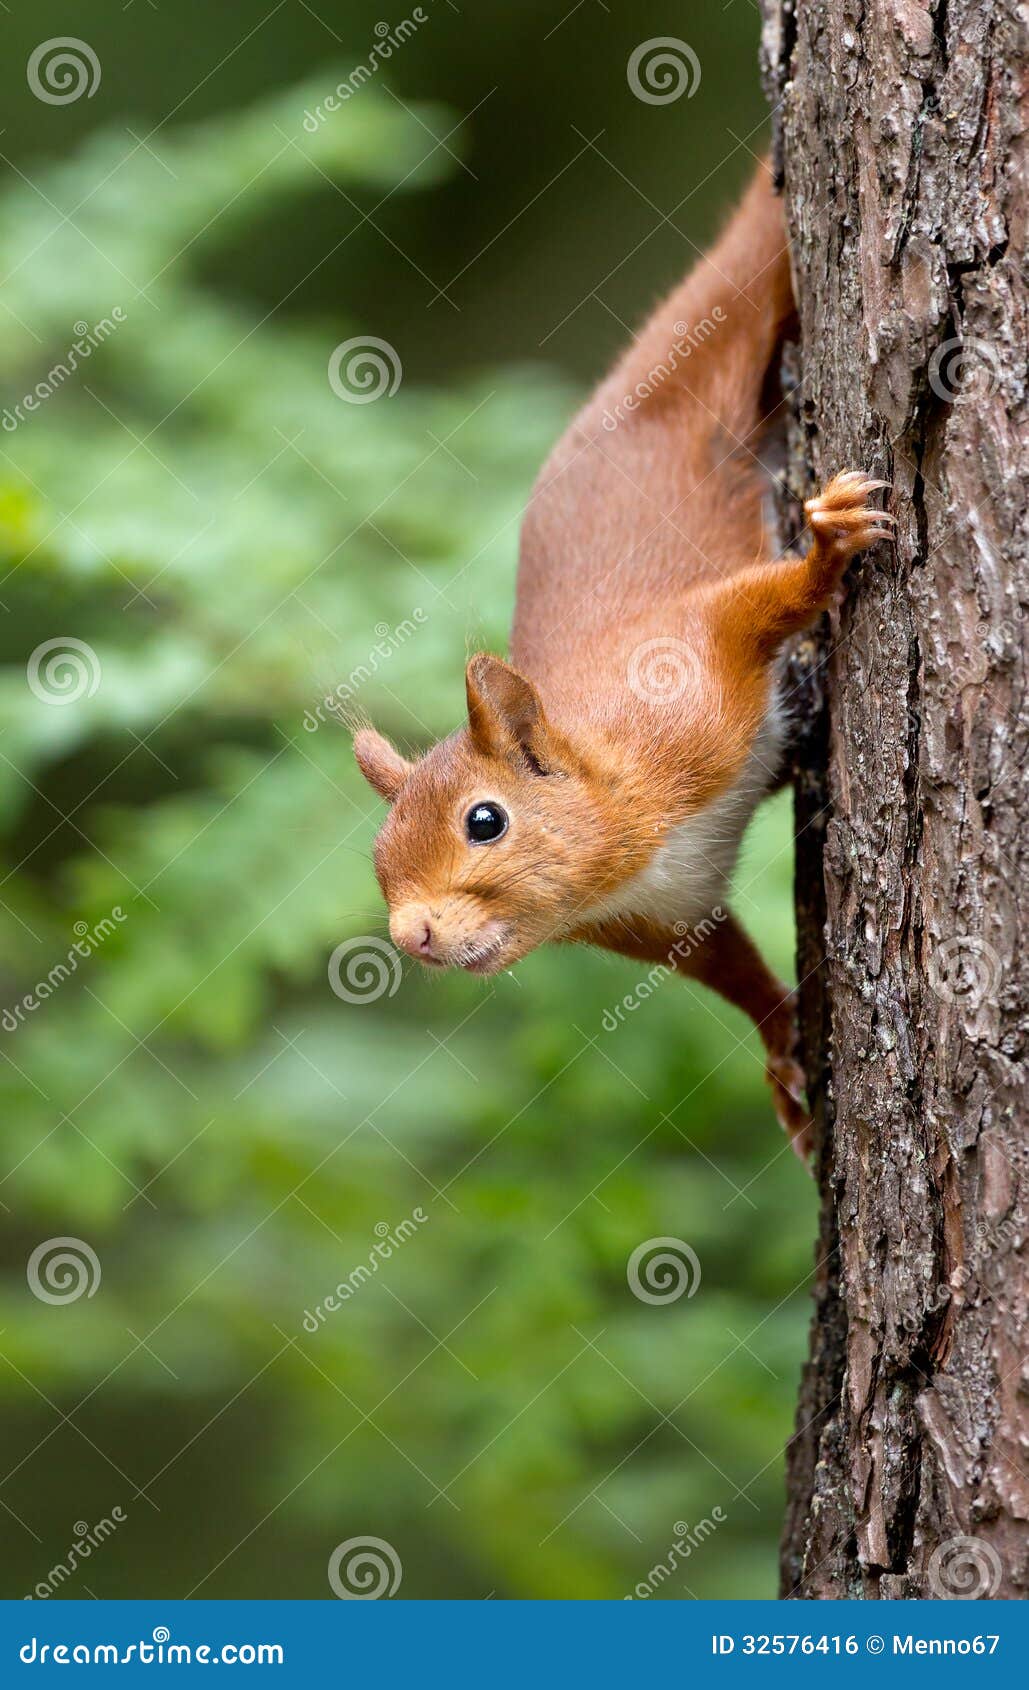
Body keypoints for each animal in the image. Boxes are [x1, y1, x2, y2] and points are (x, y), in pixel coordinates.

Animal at [353, 161, 893, 1160]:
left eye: (484, 821)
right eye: (378, 855)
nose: (413, 936)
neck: (623, 840)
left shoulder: (684, 664)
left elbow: (757, 604)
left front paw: (825, 554)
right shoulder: (665, 917)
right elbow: (731, 971)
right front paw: (783, 1057)